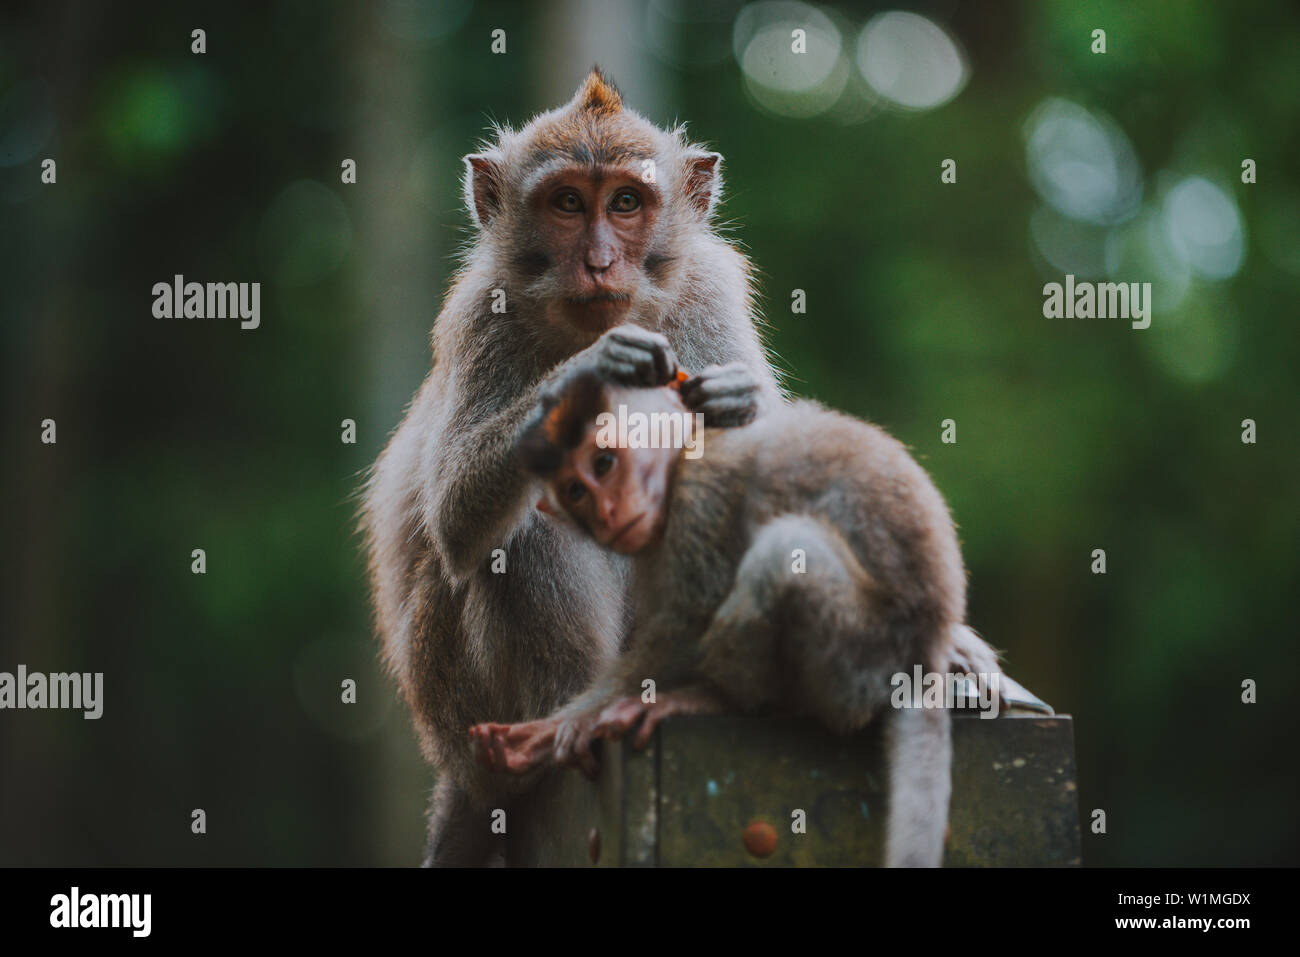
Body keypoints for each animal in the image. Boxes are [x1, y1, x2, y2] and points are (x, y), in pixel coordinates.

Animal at [360, 69, 781, 866]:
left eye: (625, 202)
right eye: (566, 204)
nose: (598, 263)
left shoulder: (708, 295)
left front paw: (733, 403)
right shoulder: (480, 318)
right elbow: (455, 517)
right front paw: (590, 372)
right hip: (459, 702)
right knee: (520, 532)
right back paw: (565, 724)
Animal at [468, 357, 988, 867]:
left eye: (604, 463)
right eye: (576, 491)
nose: (608, 512)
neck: (682, 458)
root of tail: (923, 657)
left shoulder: (700, 500)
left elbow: (686, 623)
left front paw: (567, 725)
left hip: (860, 659)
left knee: (783, 554)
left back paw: (718, 699)